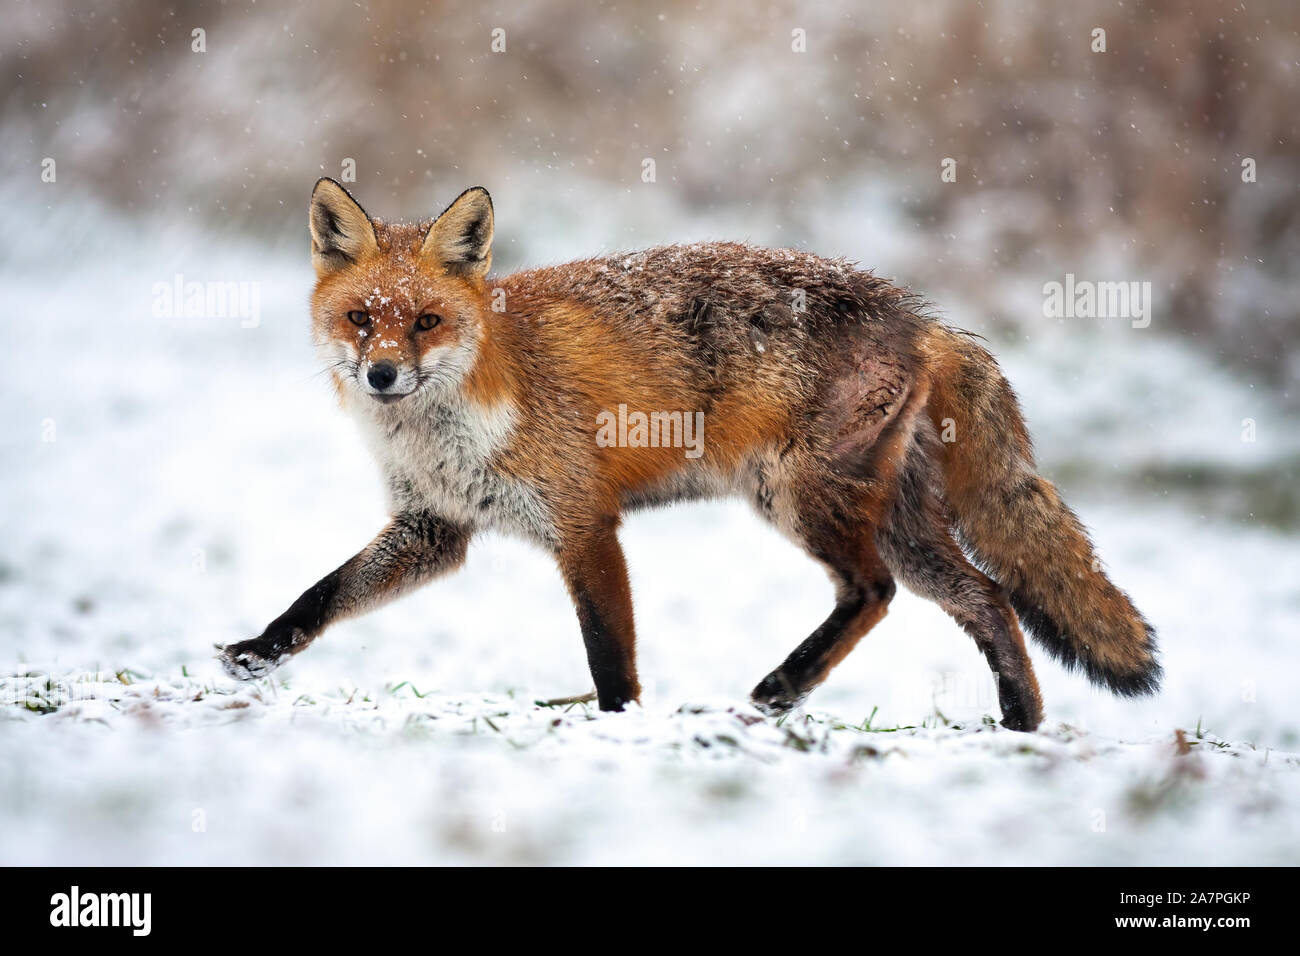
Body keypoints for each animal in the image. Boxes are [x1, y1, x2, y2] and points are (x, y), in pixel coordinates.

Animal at [218, 178, 1161, 731]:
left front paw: (617, 728)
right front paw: (258, 653)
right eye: (359, 319)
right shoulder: (434, 528)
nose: (381, 374)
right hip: (899, 523)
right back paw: (1021, 724)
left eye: (425, 322)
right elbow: (323, 594)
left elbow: (609, 652)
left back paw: (785, 686)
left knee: (876, 593)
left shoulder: (584, 525)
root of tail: (922, 318)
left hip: (800, 499)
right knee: (988, 597)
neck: (455, 422)